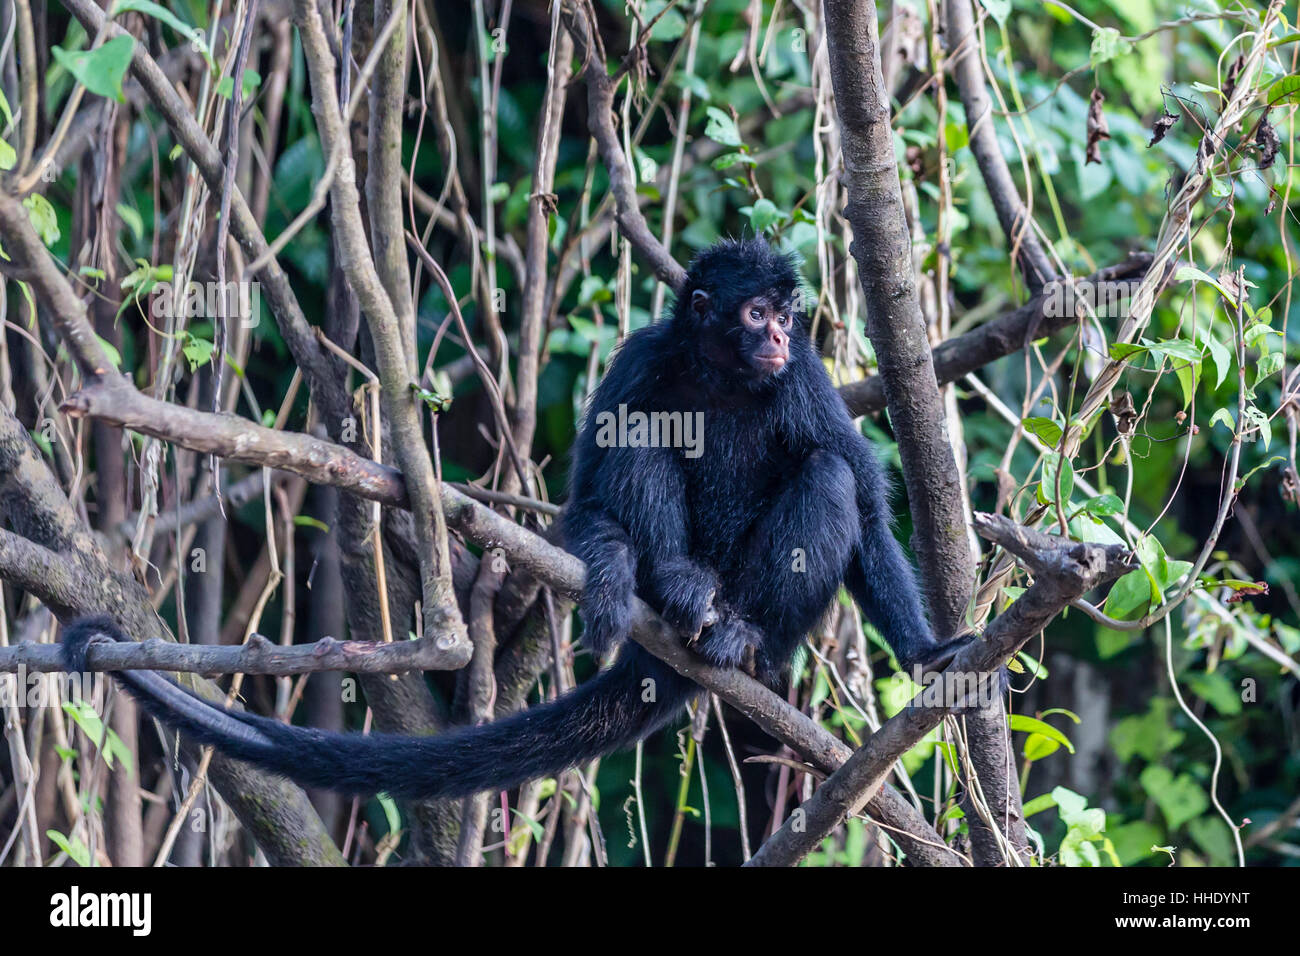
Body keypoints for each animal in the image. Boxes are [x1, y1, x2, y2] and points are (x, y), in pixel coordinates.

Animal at [62, 238, 971, 800]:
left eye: (784, 319)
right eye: (756, 314)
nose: (779, 332)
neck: (724, 375)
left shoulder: (805, 374)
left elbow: (862, 496)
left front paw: (926, 653)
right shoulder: (643, 356)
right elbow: (593, 497)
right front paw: (612, 574)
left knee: (825, 473)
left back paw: (742, 634)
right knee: (645, 440)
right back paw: (678, 589)